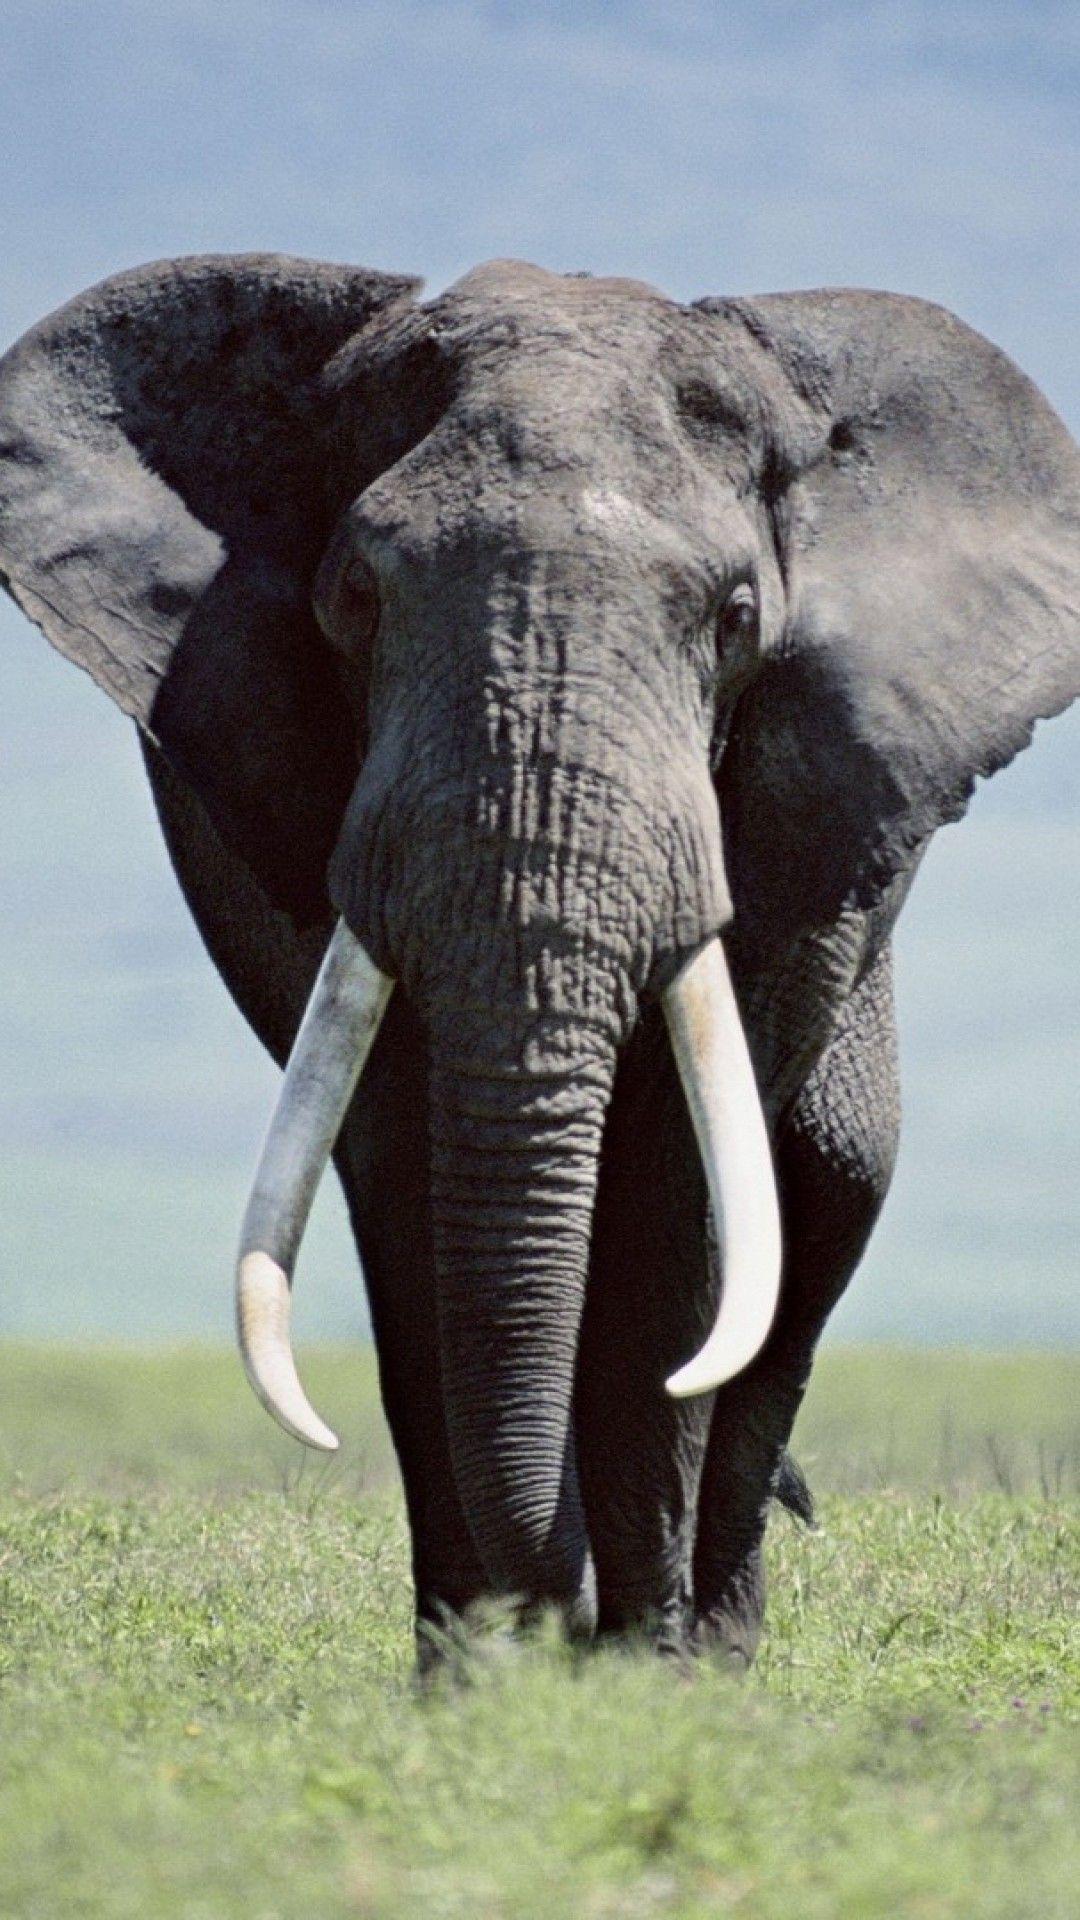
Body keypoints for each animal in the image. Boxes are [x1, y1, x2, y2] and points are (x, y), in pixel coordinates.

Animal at [1, 254, 1077, 1665]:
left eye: (734, 617)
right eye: (354, 601)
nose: (559, 1621)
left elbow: (681, 1185)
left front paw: (641, 1677)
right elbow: (401, 1158)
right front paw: (484, 1675)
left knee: (833, 1186)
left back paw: (718, 1648)